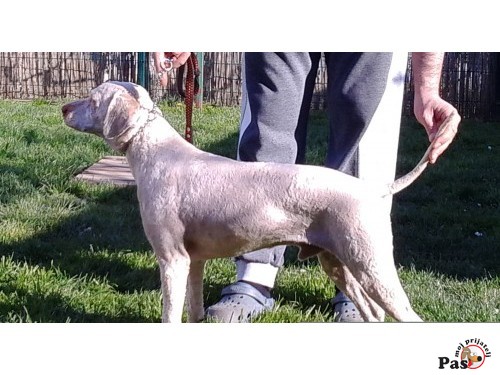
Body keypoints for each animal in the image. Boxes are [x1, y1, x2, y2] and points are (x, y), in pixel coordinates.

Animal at [62, 81, 460, 324]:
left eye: (93, 100)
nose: (64, 108)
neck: (157, 153)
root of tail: (373, 191)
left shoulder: (172, 259)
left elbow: (170, 314)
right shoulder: (193, 261)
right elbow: (194, 309)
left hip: (372, 264)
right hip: (338, 263)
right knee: (373, 315)